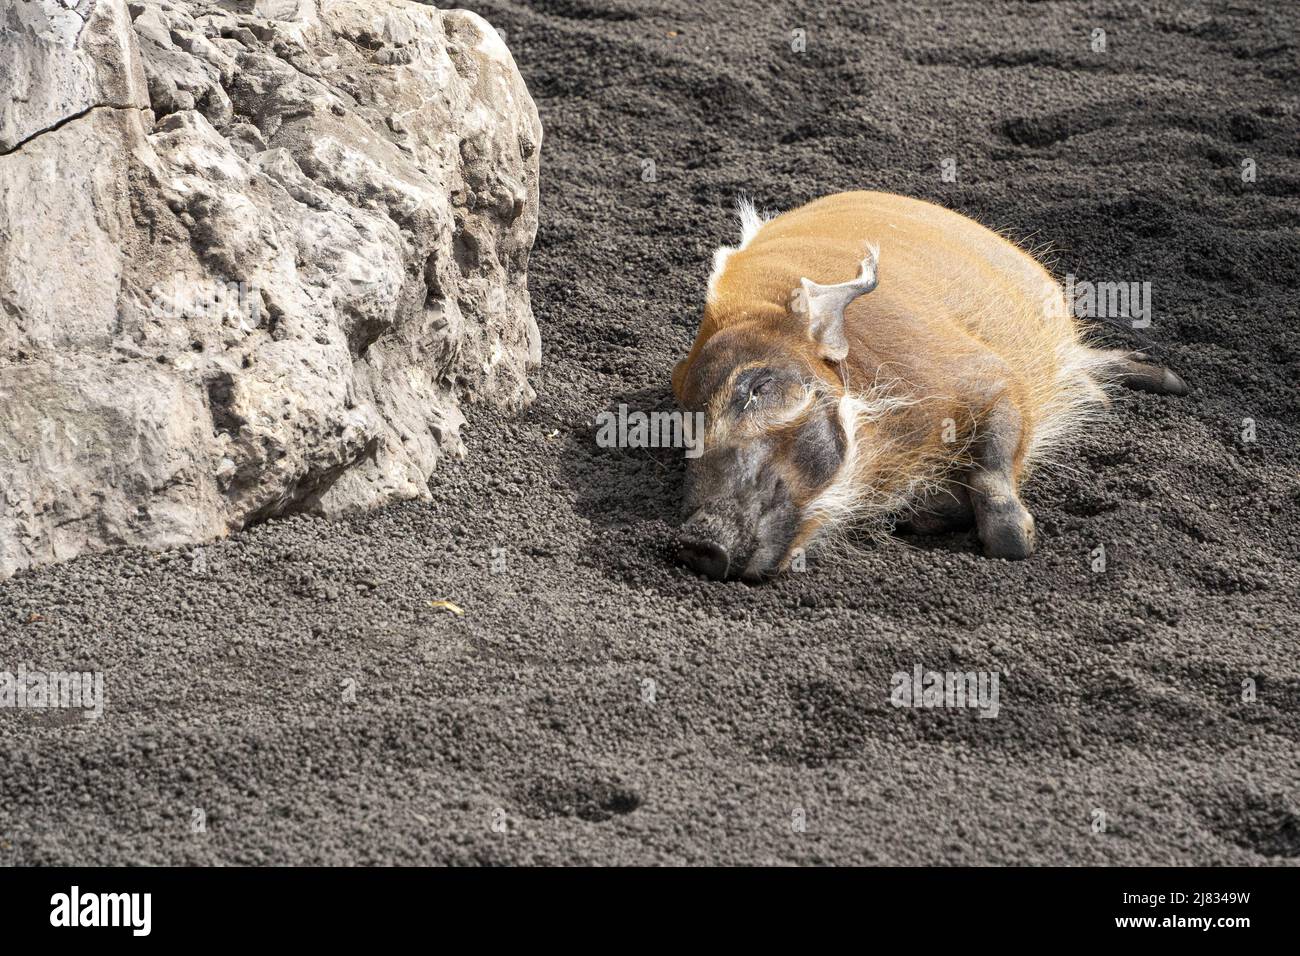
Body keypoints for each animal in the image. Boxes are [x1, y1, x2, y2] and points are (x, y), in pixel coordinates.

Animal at [672, 191, 1187, 581]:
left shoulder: (997, 382)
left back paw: (1175, 383)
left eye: (757, 388)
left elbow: (996, 489)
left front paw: (1017, 535)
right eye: (686, 424)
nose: (698, 542)